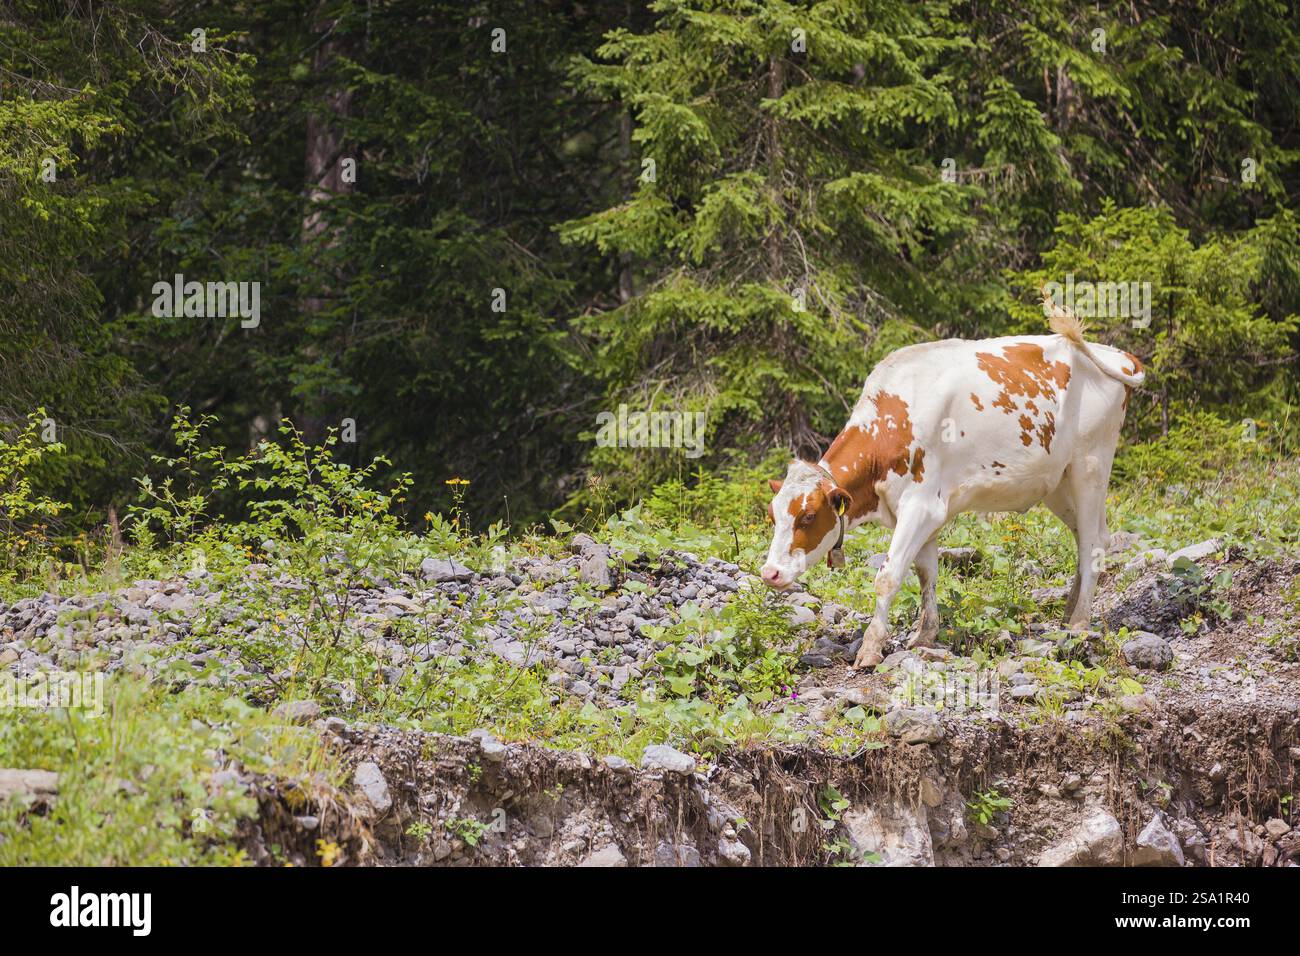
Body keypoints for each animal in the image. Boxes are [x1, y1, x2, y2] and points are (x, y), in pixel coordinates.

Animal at [760, 298, 1144, 670]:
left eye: (808, 516)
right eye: (774, 516)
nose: (770, 573)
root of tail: (1116, 355)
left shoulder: (920, 506)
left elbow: (888, 576)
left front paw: (870, 649)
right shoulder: (924, 513)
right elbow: (926, 572)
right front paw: (925, 635)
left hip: (1090, 465)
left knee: (1093, 543)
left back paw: (1079, 624)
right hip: (1058, 482)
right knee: (1086, 536)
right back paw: (1067, 614)